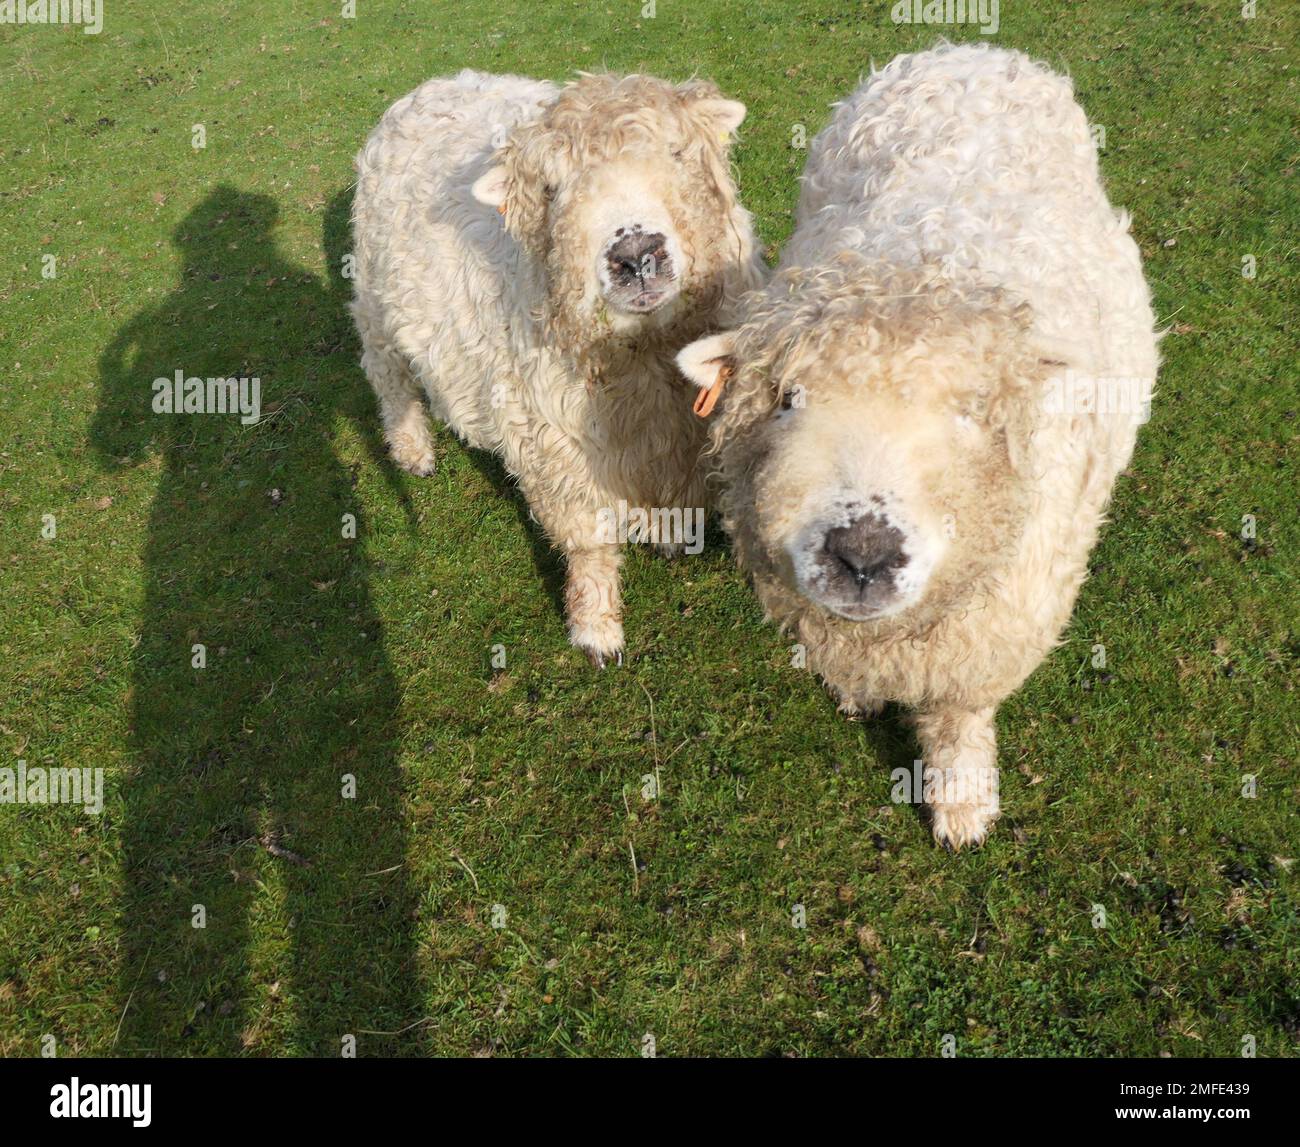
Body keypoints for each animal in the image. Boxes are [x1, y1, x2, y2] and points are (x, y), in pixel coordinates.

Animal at [351, 70, 763, 666]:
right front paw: (596, 627)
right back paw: (411, 449)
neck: (643, 357)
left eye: (678, 153)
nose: (635, 254)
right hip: (373, 296)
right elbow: (587, 542)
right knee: (387, 375)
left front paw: (664, 534)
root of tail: (434, 84)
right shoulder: (553, 445)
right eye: (550, 190)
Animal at [677, 44, 1159, 847]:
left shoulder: (991, 629)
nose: (863, 555)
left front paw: (961, 799)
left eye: (970, 411)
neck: (918, 264)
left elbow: (959, 713)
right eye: (787, 398)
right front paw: (856, 697)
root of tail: (968, 51)